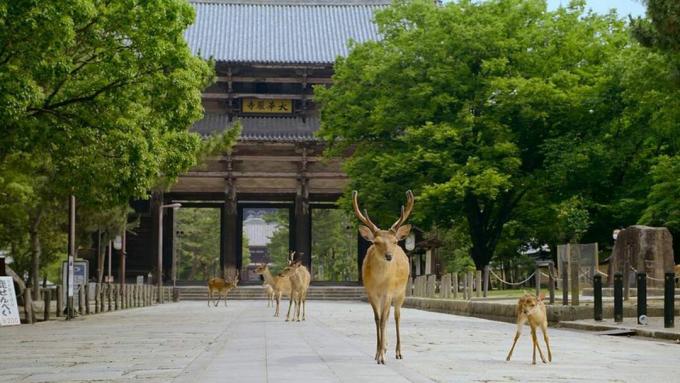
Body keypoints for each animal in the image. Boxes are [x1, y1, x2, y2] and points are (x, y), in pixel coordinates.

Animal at [354, 190, 412, 364]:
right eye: (376, 242)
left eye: (395, 241)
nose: (389, 256)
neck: (379, 282)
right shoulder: (371, 293)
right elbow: (378, 319)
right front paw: (378, 353)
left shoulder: (388, 292)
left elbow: (385, 319)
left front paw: (382, 357)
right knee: (385, 317)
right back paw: (384, 348)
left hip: (401, 292)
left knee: (396, 316)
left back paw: (398, 352)